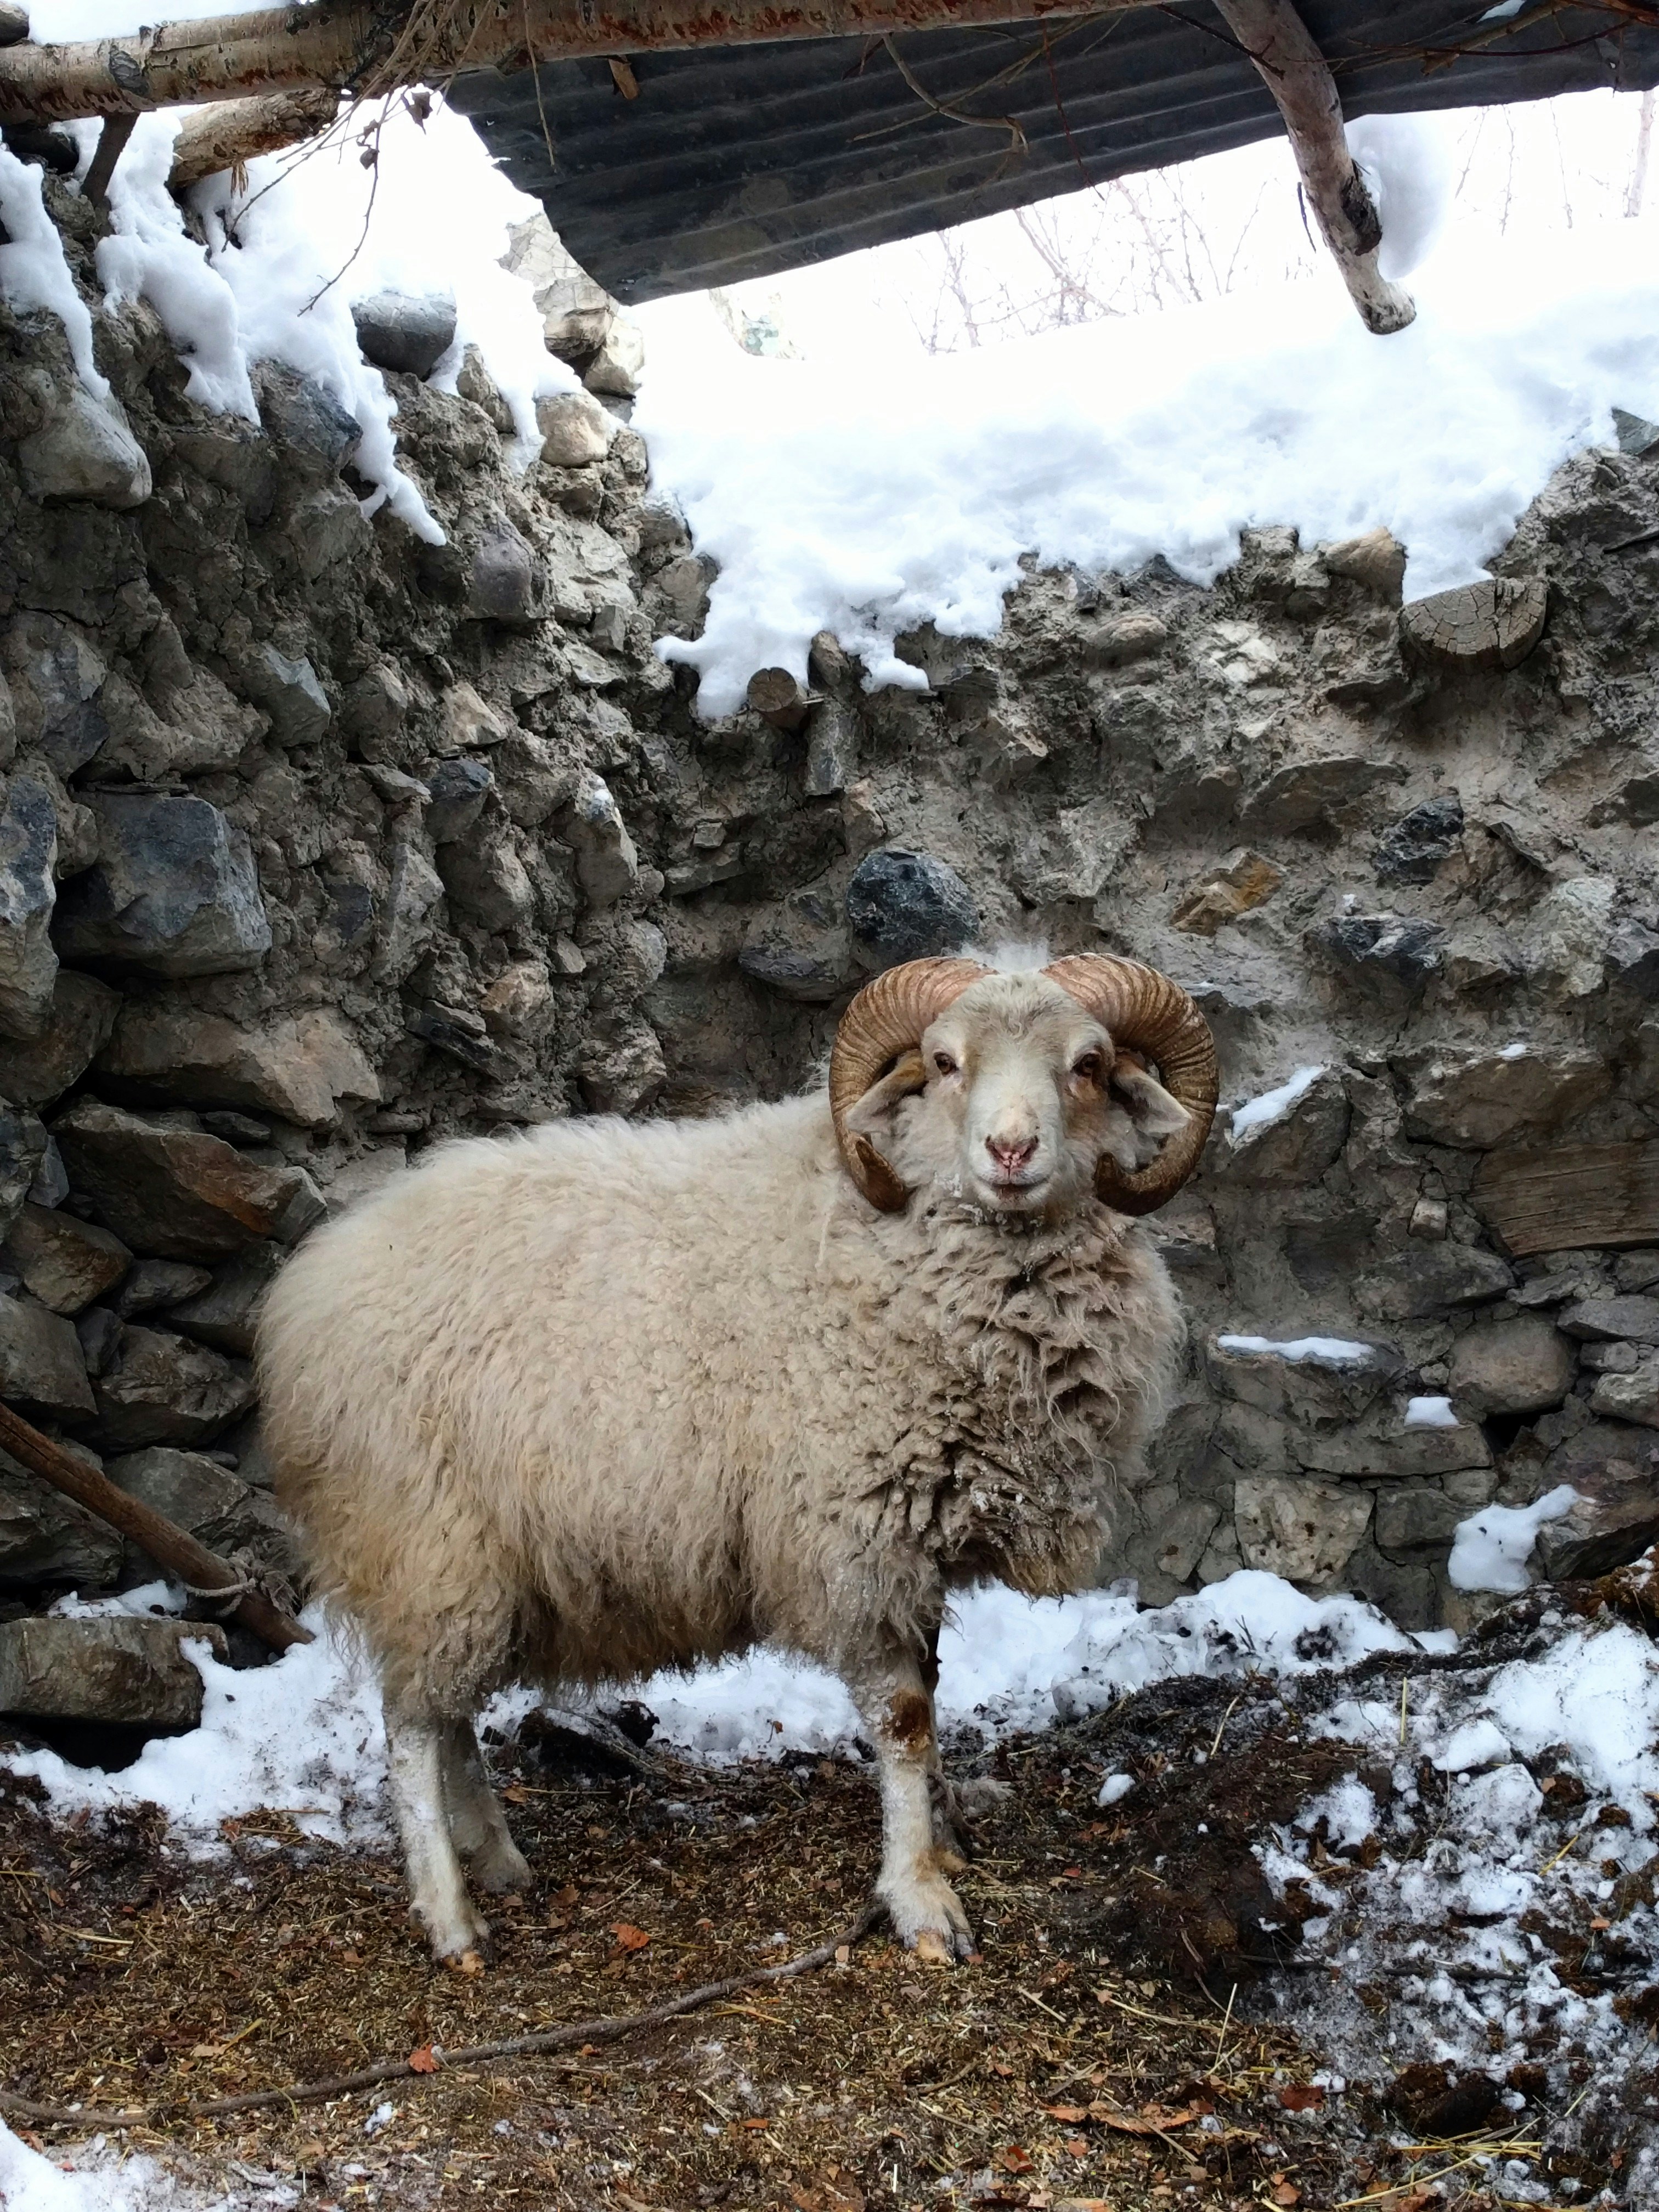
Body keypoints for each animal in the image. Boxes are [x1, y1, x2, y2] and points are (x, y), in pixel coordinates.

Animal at [258, 951, 1218, 1968]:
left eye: (1087, 1064)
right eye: (943, 1061)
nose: (1008, 1152)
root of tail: (309, 1287)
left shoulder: (910, 1537)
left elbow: (933, 1688)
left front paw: (945, 1832)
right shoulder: (853, 1539)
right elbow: (904, 1719)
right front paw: (919, 1896)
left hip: (467, 1565)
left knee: (444, 1718)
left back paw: (498, 1860)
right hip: (424, 1540)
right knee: (410, 1729)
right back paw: (450, 1917)